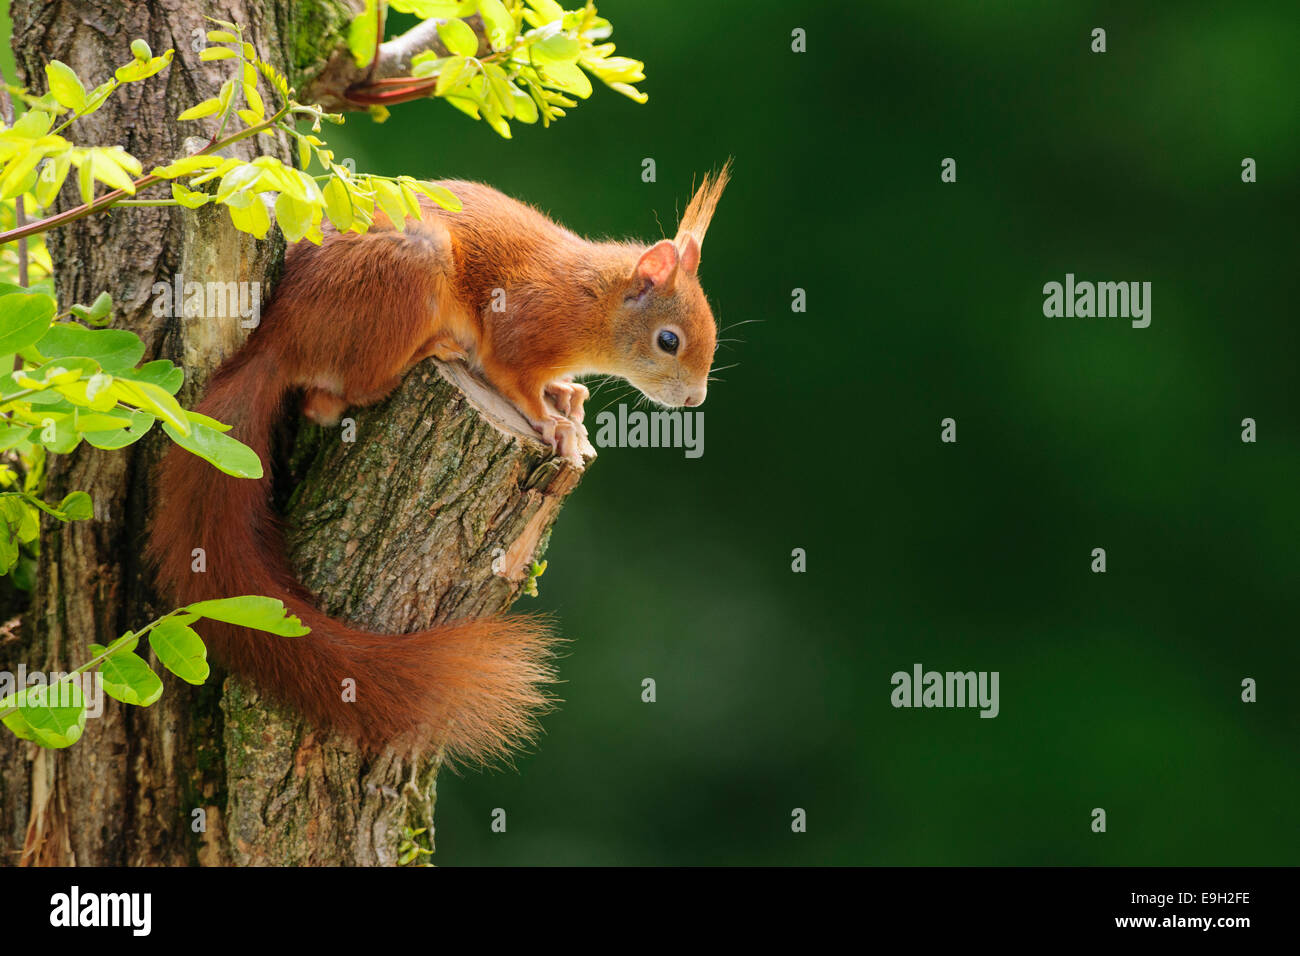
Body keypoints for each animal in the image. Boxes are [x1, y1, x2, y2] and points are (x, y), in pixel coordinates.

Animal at [146, 164, 730, 764]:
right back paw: (433, 350)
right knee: (338, 397)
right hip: (409, 272)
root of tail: (277, 338)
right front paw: (556, 425)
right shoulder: (522, 328)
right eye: (668, 340)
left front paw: (568, 396)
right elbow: (513, 379)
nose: (694, 400)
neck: (593, 300)